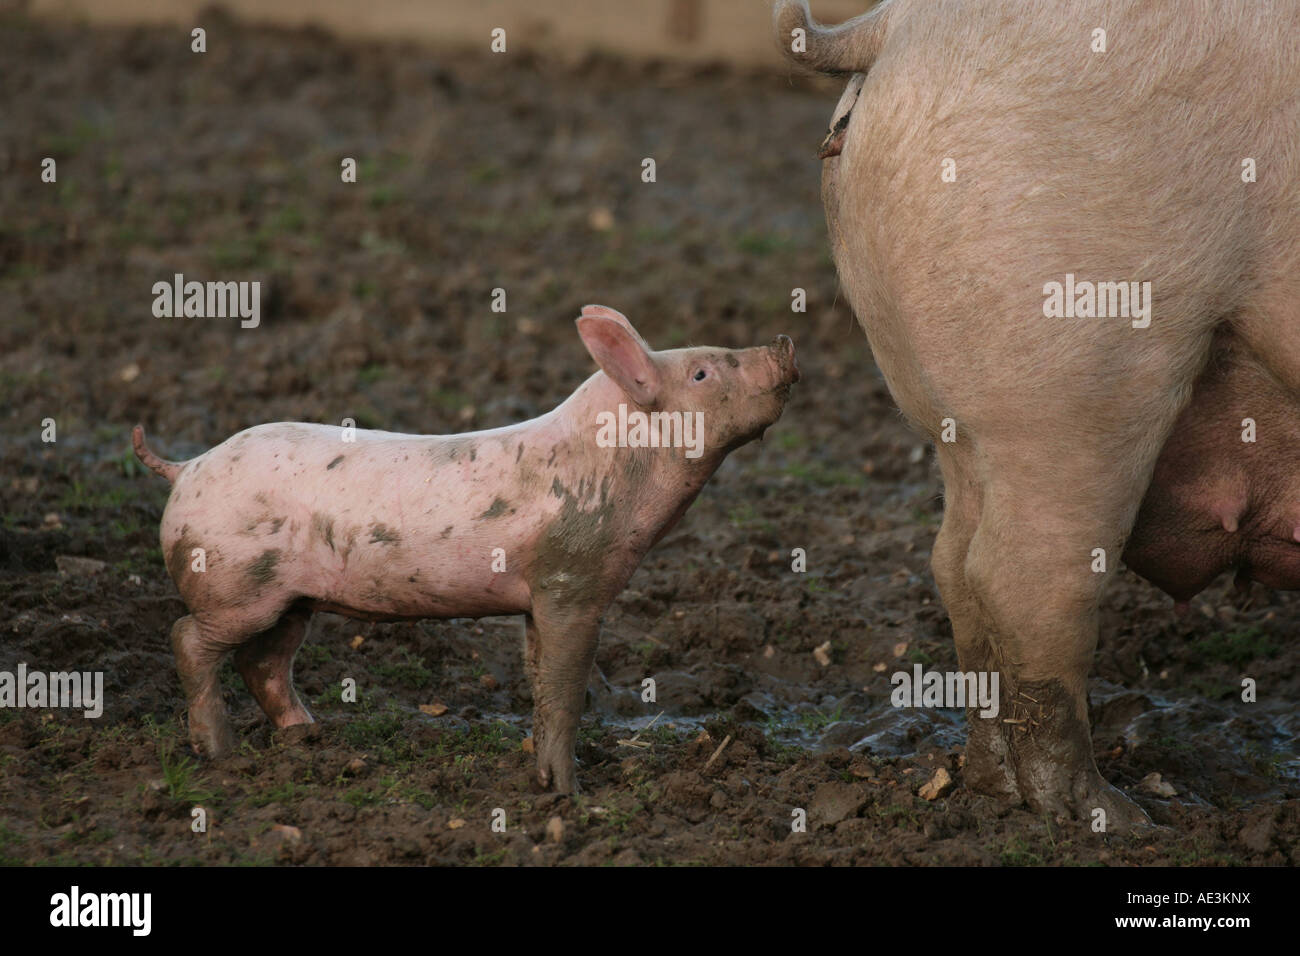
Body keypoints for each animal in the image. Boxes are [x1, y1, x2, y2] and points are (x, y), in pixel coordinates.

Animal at [134, 305, 798, 792]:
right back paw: (222, 755)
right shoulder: (571, 581)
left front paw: (544, 778)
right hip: (235, 581)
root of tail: (186, 467)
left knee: (264, 661)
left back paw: (308, 738)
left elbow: (539, 679)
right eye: (702, 374)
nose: (784, 341)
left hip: (291, 598)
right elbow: (566, 686)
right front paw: (570, 792)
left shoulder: (537, 598)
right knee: (189, 638)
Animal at [776, 0, 1299, 828]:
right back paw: (1112, 815)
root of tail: (891, 25)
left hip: (961, 414)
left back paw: (996, 784)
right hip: (1081, 383)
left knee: (954, 565)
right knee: (1026, 582)